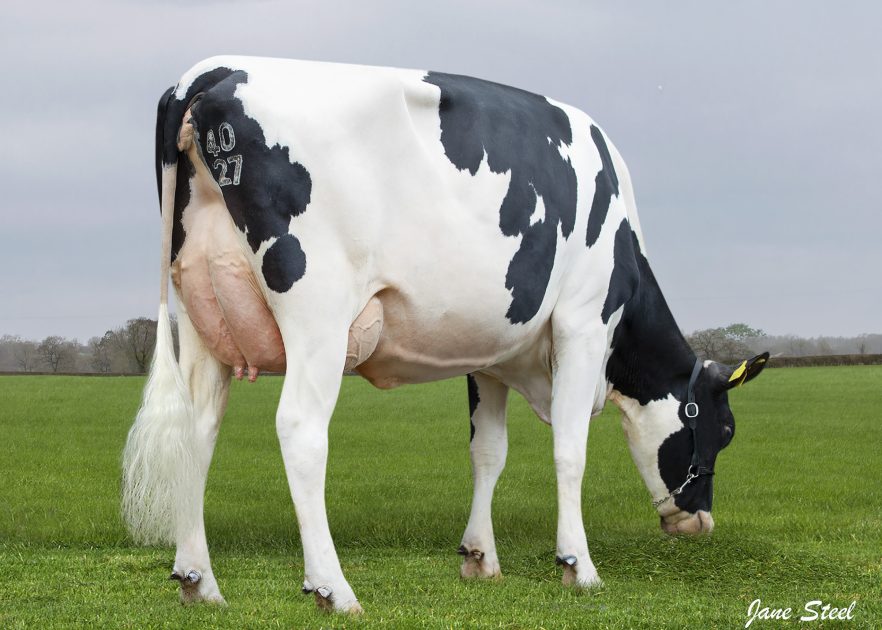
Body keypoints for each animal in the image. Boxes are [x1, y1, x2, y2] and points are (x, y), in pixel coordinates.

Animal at [122, 56, 768, 614]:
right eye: (725, 430)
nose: (700, 520)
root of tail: (209, 72)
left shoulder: (491, 354)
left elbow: (488, 452)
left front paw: (480, 556)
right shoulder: (583, 321)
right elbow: (570, 448)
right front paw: (577, 565)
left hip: (202, 310)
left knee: (198, 431)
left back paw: (198, 580)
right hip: (318, 312)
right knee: (301, 430)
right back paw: (333, 588)